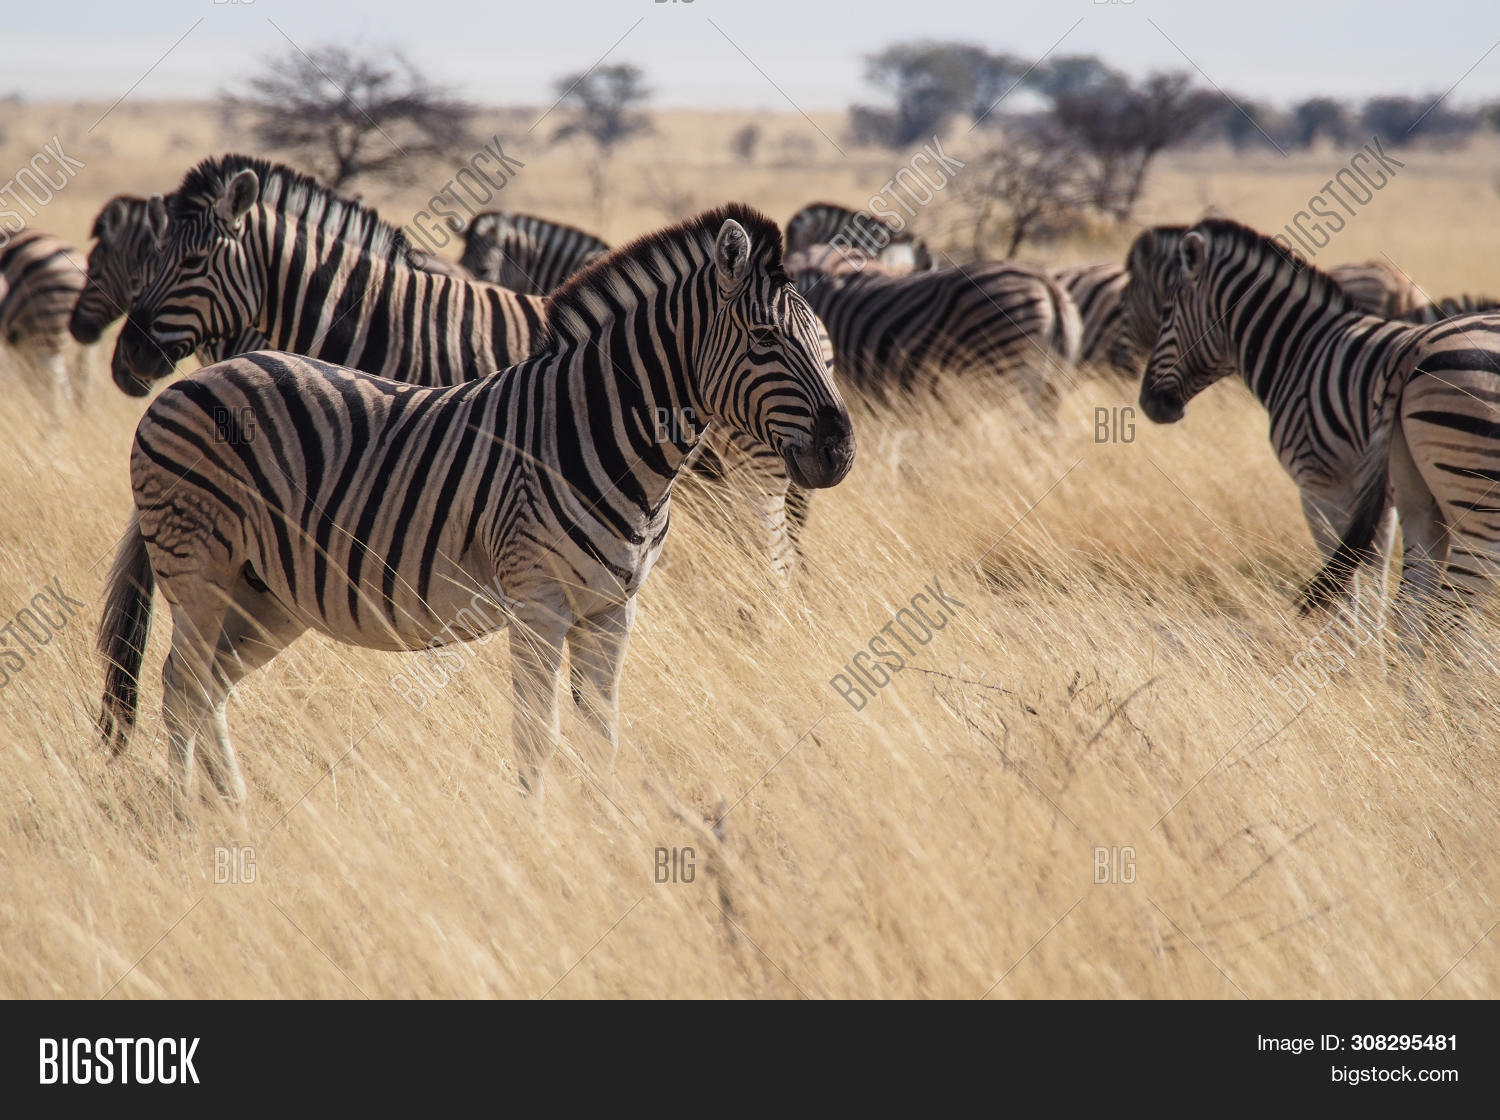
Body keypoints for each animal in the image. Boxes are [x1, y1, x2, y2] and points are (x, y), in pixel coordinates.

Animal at [1138, 218, 1500, 654]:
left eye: (1167, 311)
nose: (1148, 402)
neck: (1302, 353)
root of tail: (1410, 355)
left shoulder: (1321, 485)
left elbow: (1345, 580)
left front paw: (1348, 654)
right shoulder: (1379, 500)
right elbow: (1373, 580)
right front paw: (1367, 657)